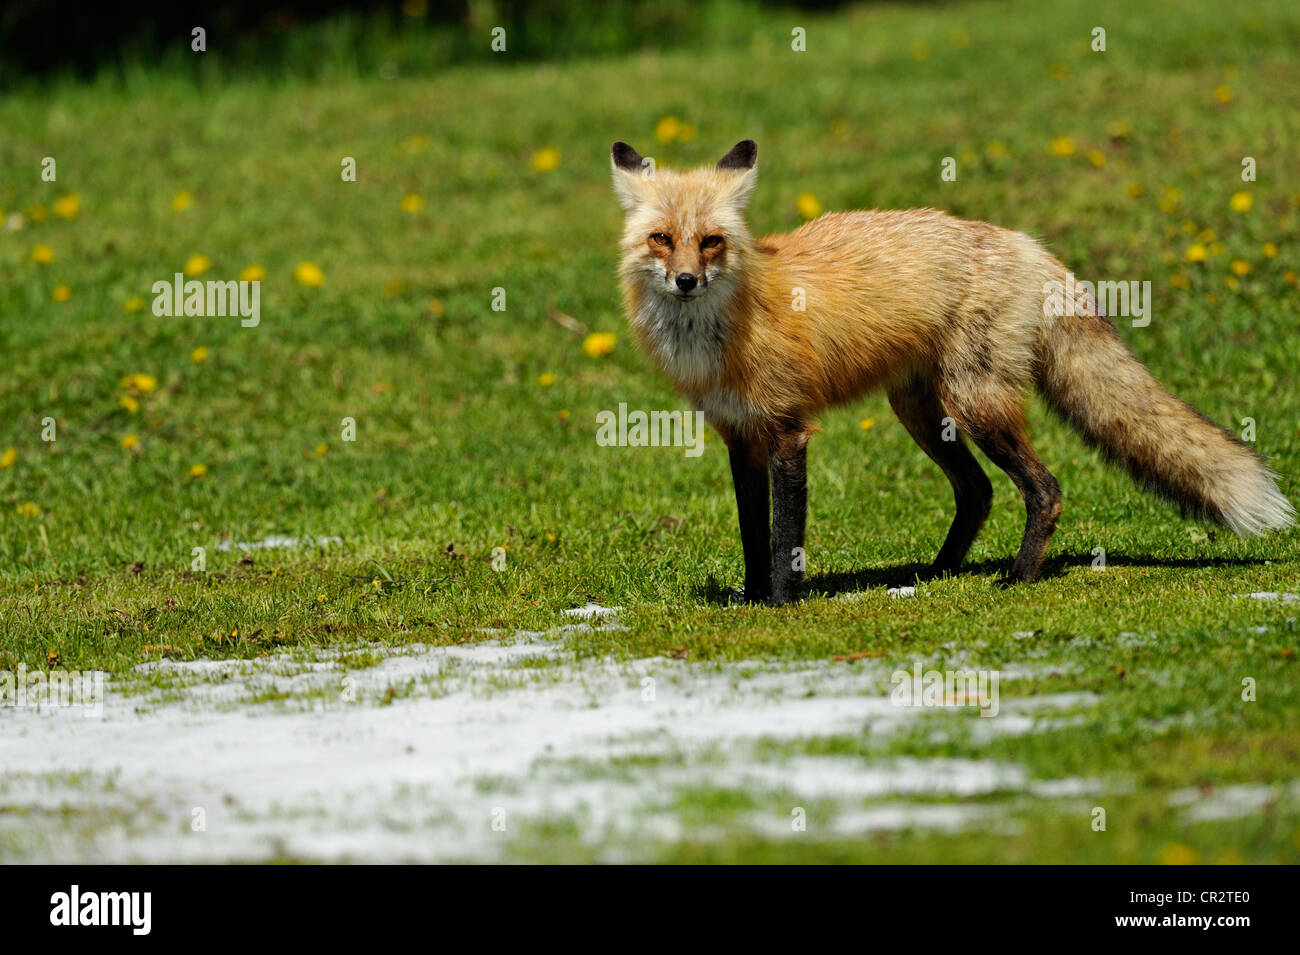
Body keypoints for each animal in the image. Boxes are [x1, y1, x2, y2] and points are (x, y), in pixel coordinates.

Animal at [610, 139, 1295, 605]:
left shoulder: (786, 431)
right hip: (920, 411)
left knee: (1043, 489)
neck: (721, 333)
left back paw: (1017, 577)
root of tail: (1029, 245)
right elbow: (755, 532)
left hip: (974, 403)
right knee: (978, 490)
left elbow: (786, 536)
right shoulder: (739, 437)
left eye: (712, 242)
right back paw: (937, 573)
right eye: (662, 239)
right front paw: (752, 601)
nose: (686, 281)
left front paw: (781, 603)